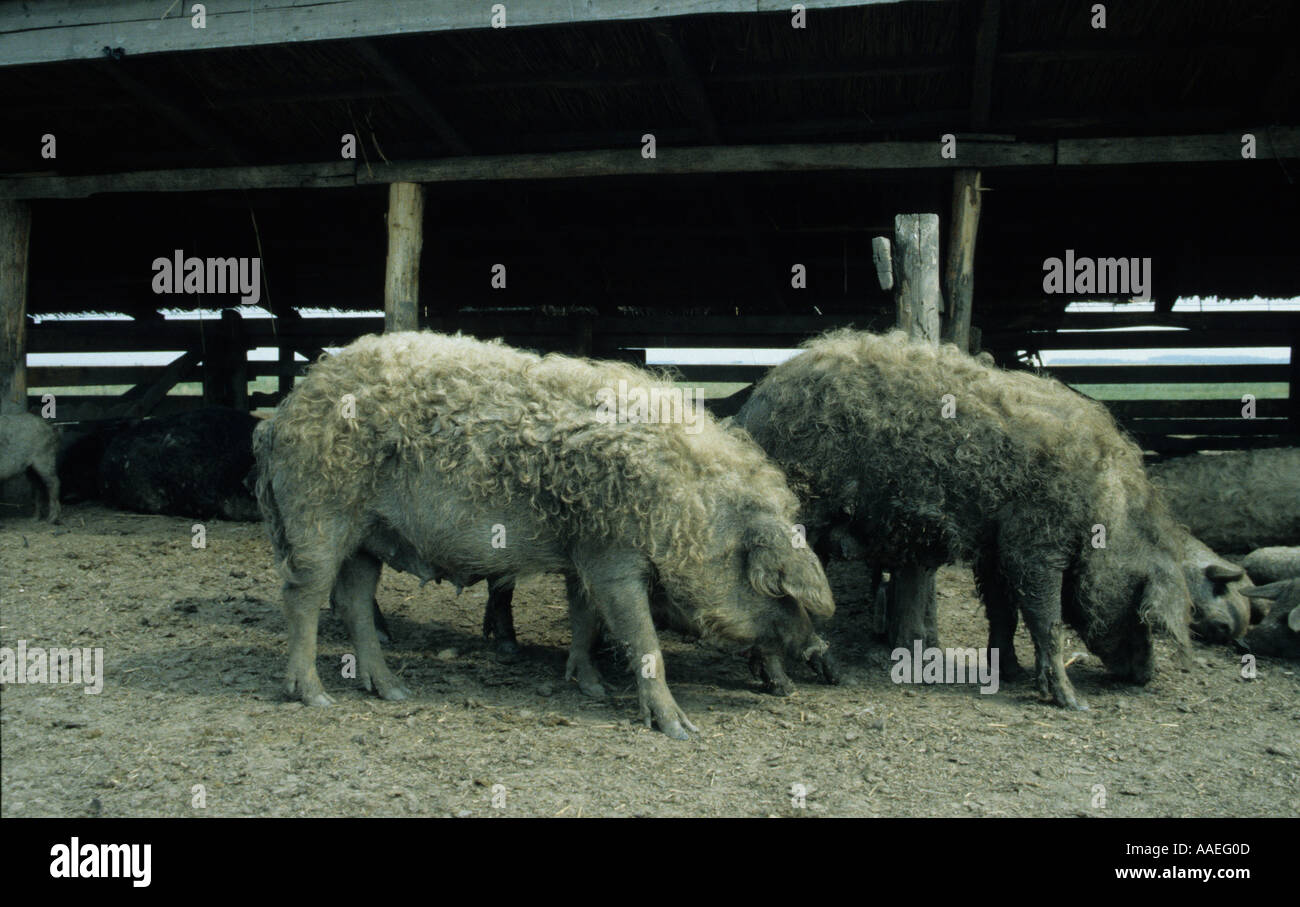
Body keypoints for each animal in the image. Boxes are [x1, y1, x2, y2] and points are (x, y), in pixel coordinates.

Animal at [253, 332, 836, 738]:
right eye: (775, 589)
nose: (818, 649)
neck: (687, 511)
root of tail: (283, 410)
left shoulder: (583, 554)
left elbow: (584, 618)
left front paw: (592, 687)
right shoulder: (612, 557)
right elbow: (644, 639)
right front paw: (680, 729)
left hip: (369, 535)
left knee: (353, 600)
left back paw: (394, 691)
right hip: (319, 514)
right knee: (302, 594)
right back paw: (314, 697)